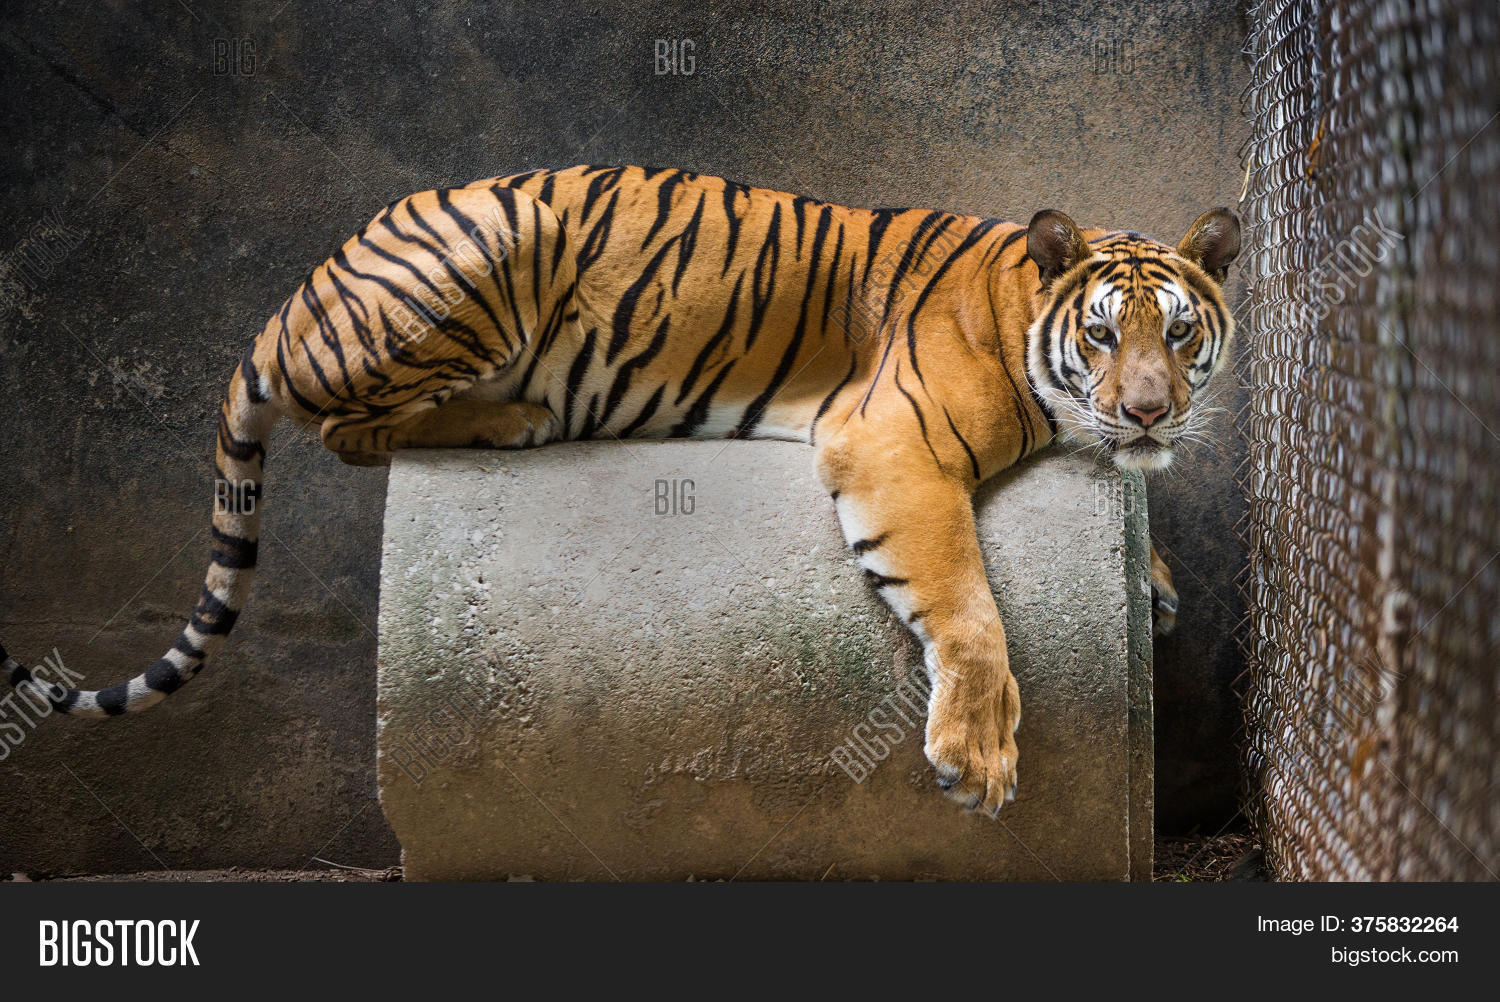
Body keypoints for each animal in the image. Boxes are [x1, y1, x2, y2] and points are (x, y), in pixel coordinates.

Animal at [1, 164, 1239, 816]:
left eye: (1179, 336)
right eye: (1101, 333)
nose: (1149, 413)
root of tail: (296, 293)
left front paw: (1156, 579)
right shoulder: (891, 441)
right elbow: (969, 608)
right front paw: (975, 761)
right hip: (492, 242)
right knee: (351, 431)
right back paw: (510, 418)